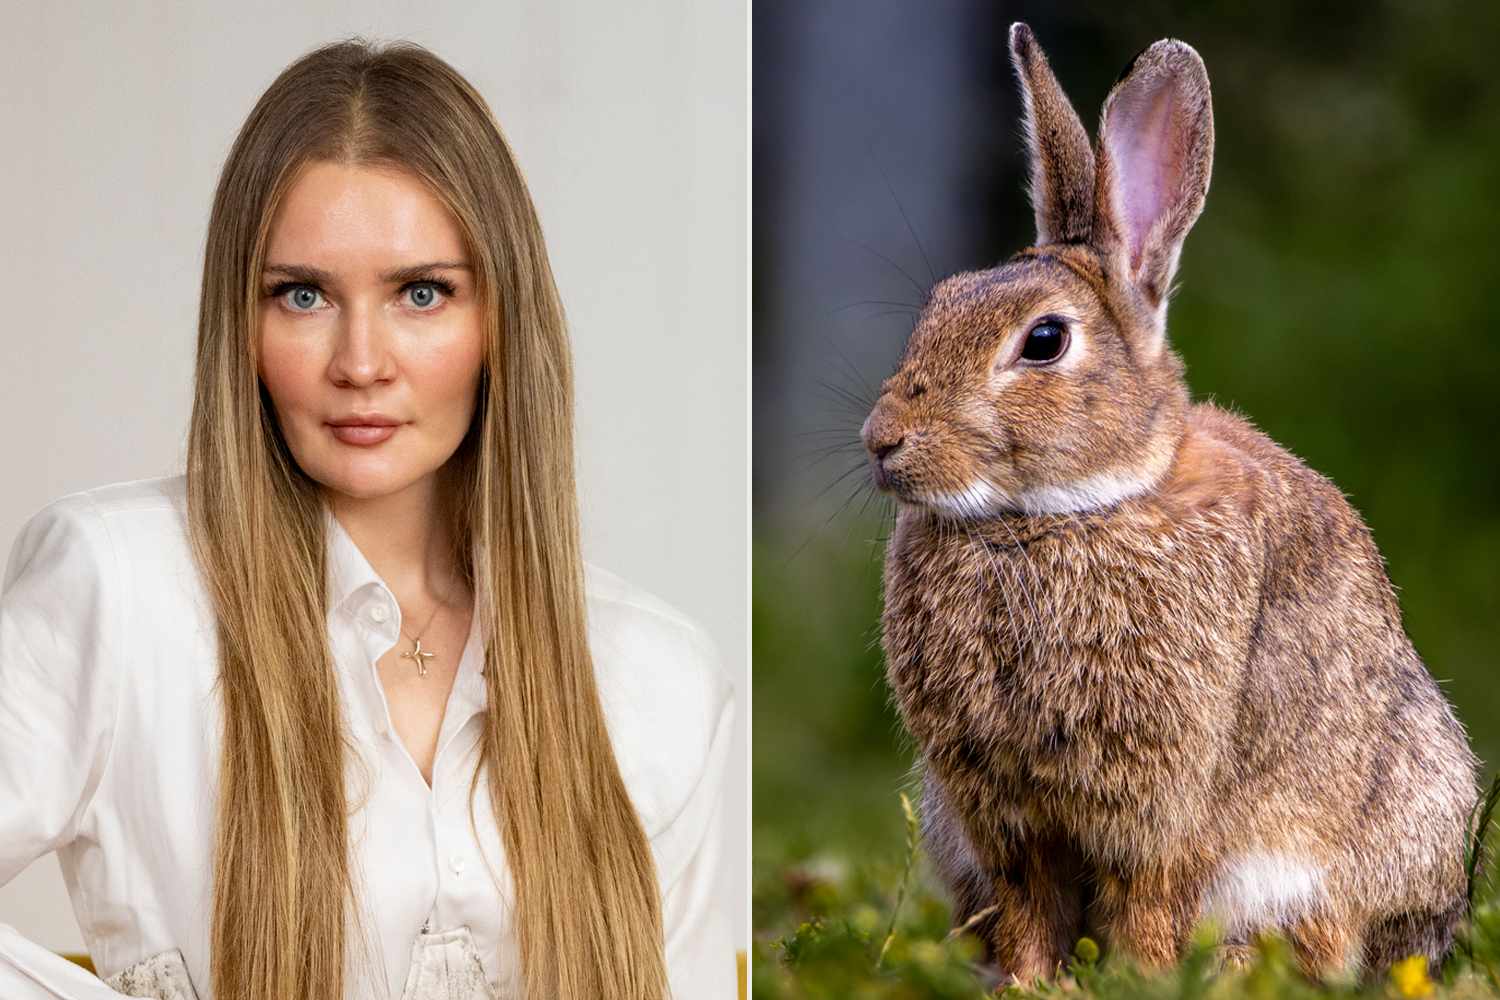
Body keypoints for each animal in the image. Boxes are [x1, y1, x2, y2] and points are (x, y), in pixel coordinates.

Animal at [860, 21, 1480, 985]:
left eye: (1045, 341)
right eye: (939, 304)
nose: (882, 439)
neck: (1053, 513)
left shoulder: (1162, 803)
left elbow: (1150, 901)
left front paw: (1137, 981)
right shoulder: (1001, 815)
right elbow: (1029, 905)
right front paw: (1033, 987)